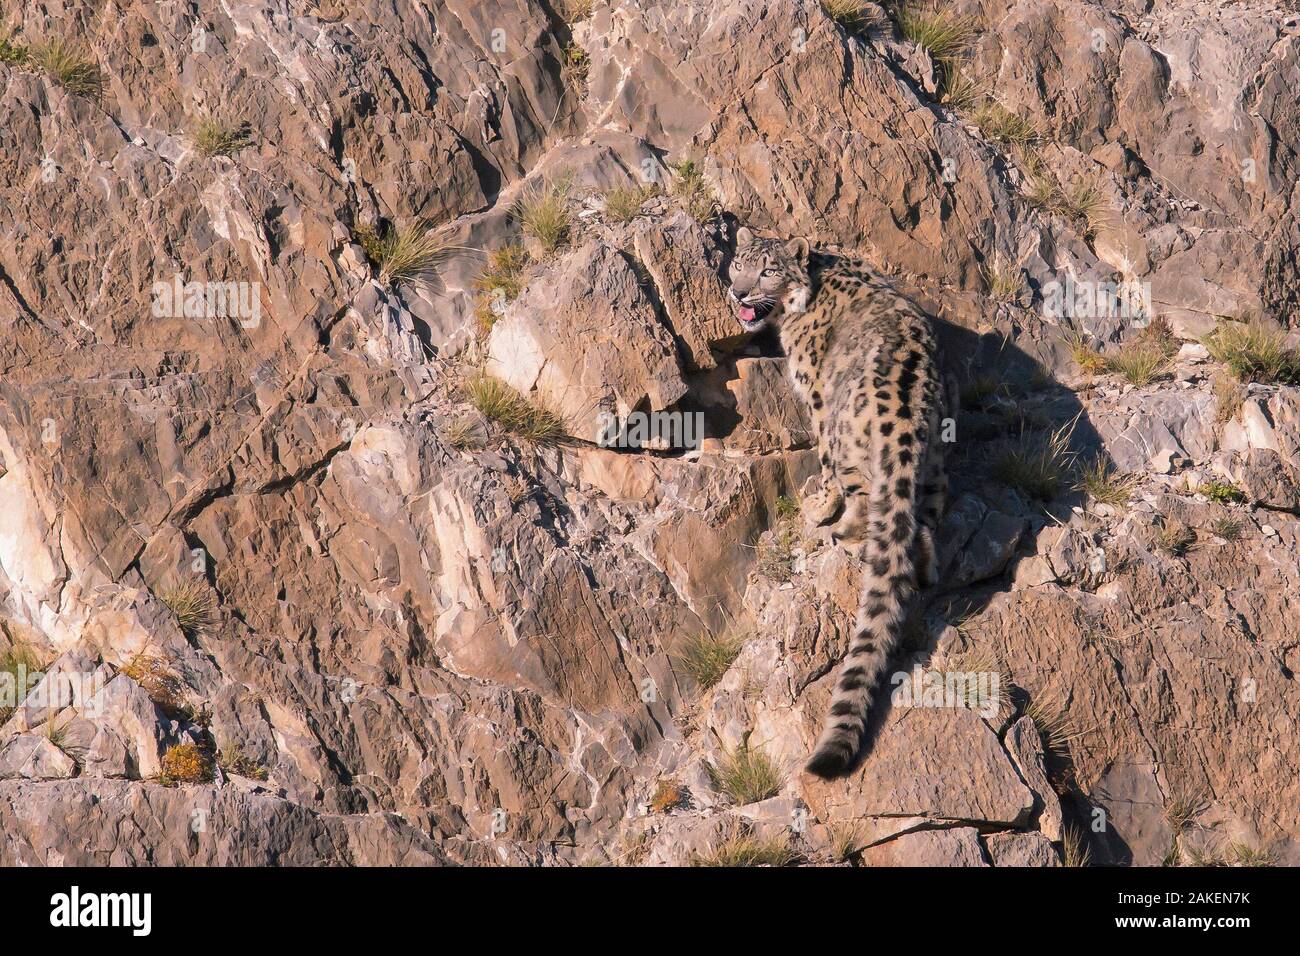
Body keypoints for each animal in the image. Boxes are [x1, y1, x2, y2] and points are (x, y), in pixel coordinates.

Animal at [727, 226, 951, 778]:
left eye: (768, 270)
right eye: (739, 263)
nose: (739, 294)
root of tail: (905, 420)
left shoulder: (814, 395)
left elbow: (823, 465)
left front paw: (816, 504)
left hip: (847, 439)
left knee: (864, 508)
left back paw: (837, 532)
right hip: (935, 465)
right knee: (922, 526)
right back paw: (926, 571)